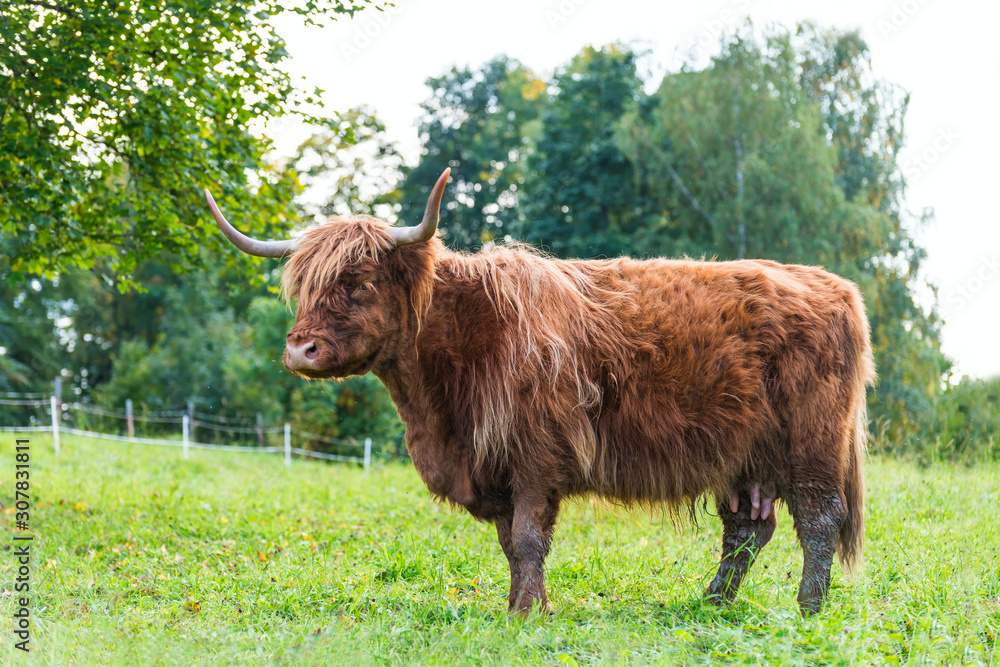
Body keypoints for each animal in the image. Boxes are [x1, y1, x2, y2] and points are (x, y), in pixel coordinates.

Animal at [205, 168, 875, 616]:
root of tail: (835, 287)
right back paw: (709, 604)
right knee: (746, 529)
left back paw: (807, 610)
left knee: (819, 519)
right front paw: (524, 607)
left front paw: (526, 615)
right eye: (303, 287)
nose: (300, 350)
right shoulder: (494, 465)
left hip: (812, 443)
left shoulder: (536, 456)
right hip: (743, 456)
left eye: (358, 282)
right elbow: (511, 545)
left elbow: (529, 539)